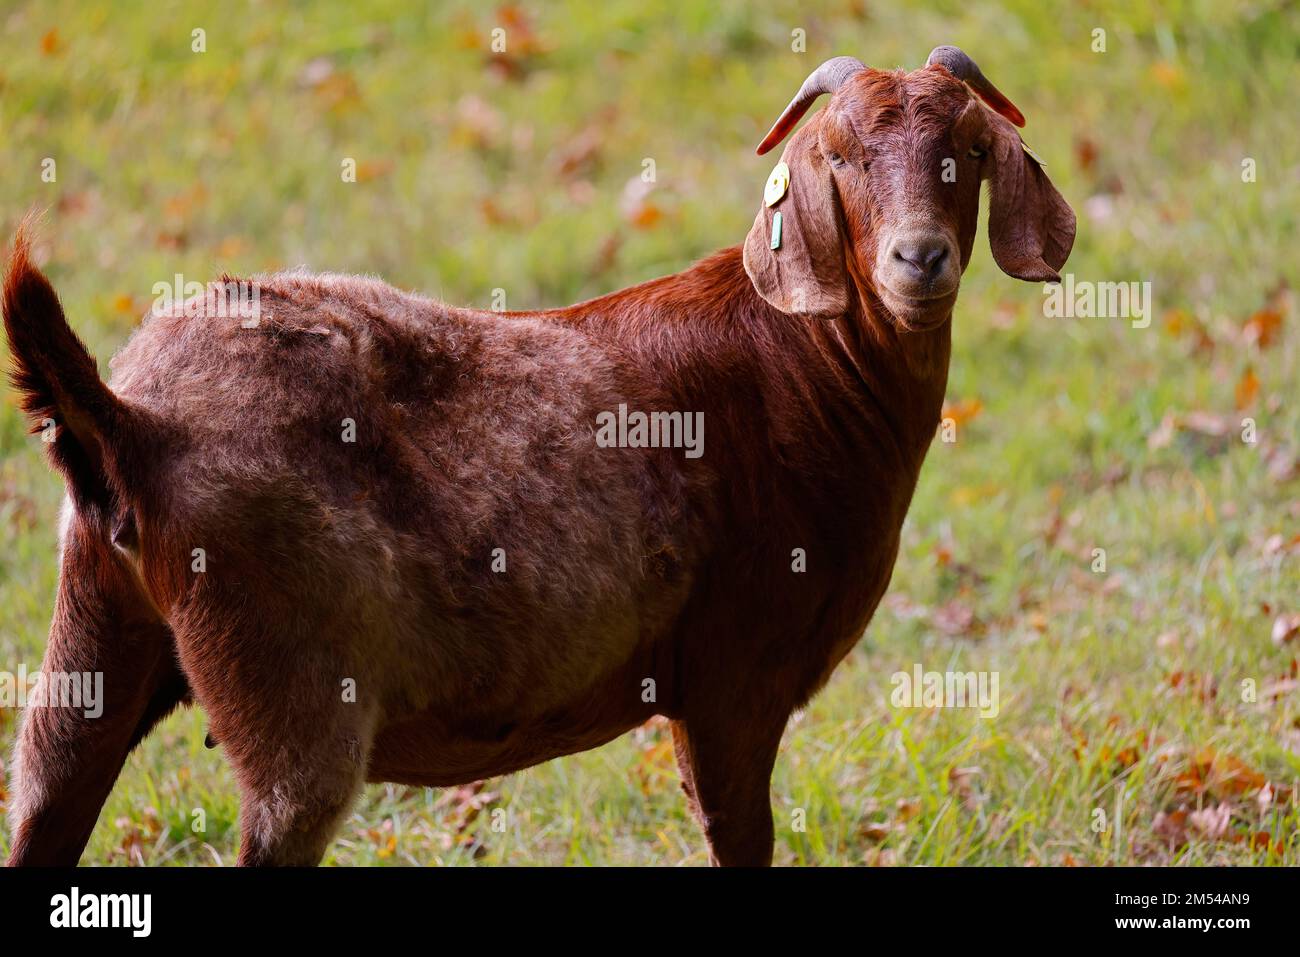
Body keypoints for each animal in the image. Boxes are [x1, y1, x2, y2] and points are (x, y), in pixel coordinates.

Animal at [3, 47, 1074, 866]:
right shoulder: (732, 679)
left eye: (971, 149)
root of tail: (132, 420)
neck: (802, 368)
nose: (918, 260)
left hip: (92, 635)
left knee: (45, 795)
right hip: (293, 692)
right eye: (840, 157)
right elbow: (743, 838)